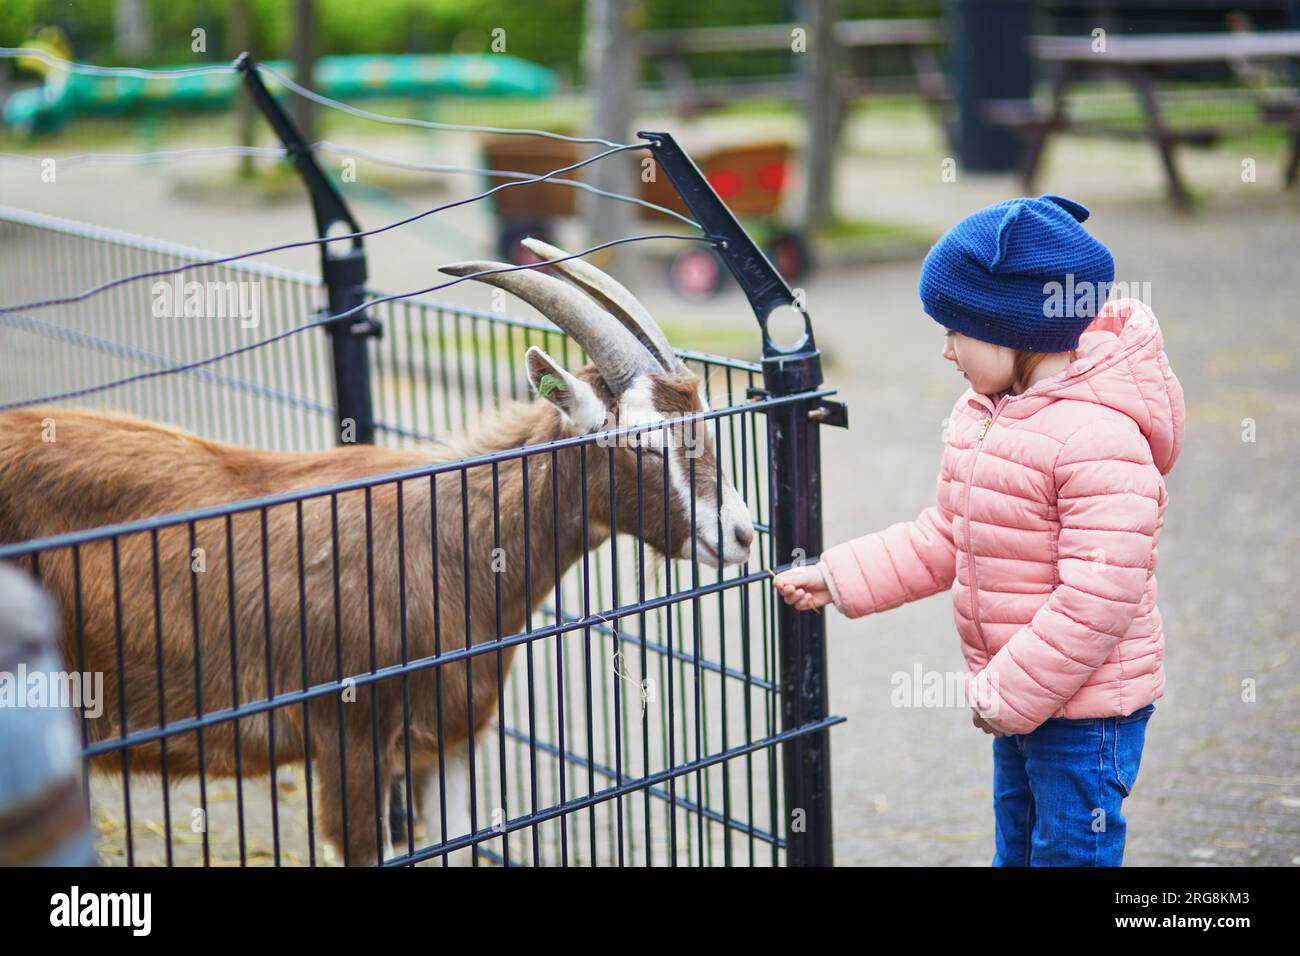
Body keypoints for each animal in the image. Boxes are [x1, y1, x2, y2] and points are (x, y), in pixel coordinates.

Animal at [0, 239, 756, 865]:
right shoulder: (351, 743)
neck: (444, 541)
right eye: (644, 440)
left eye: (705, 421)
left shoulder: (450, 741)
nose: (743, 535)